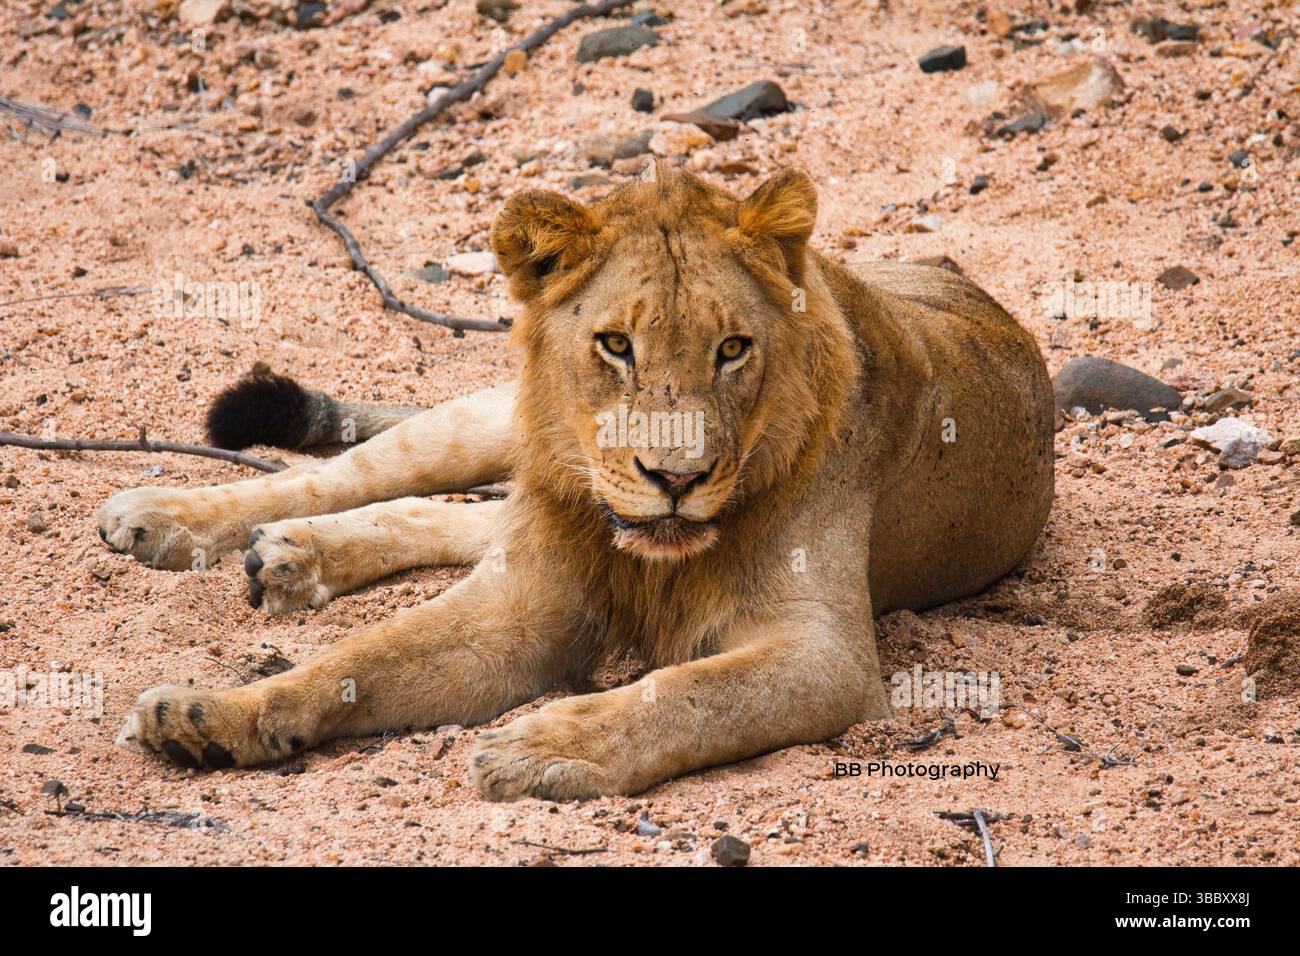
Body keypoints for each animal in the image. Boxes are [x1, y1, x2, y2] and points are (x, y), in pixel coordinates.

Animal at [101, 168, 1054, 799]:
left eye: (732, 349)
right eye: (616, 345)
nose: (676, 479)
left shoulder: (826, 657)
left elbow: (689, 692)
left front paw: (543, 747)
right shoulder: (526, 600)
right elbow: (358, 660)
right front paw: (210, 717)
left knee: (462, 518)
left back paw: (292, 558)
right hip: (489, 421)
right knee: (357, 476)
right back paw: (173, 518)